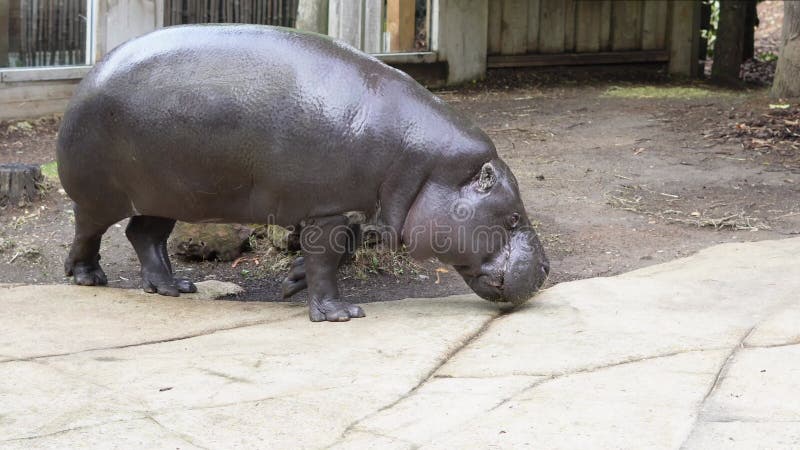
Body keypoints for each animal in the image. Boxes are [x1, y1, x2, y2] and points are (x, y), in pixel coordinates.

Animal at [57, 25, 549, 322]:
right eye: (513, 217)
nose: (545, 269)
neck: (426, 164)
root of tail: (90, 76)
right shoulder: (328, 207)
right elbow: (328, 256)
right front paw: (340, 315)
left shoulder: (347, 205)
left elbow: (340, 248)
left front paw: (293, 281)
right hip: (102, 194)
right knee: (87, 229)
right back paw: (88, 278)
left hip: (169, 192)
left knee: (144, 234)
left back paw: (174, 288)